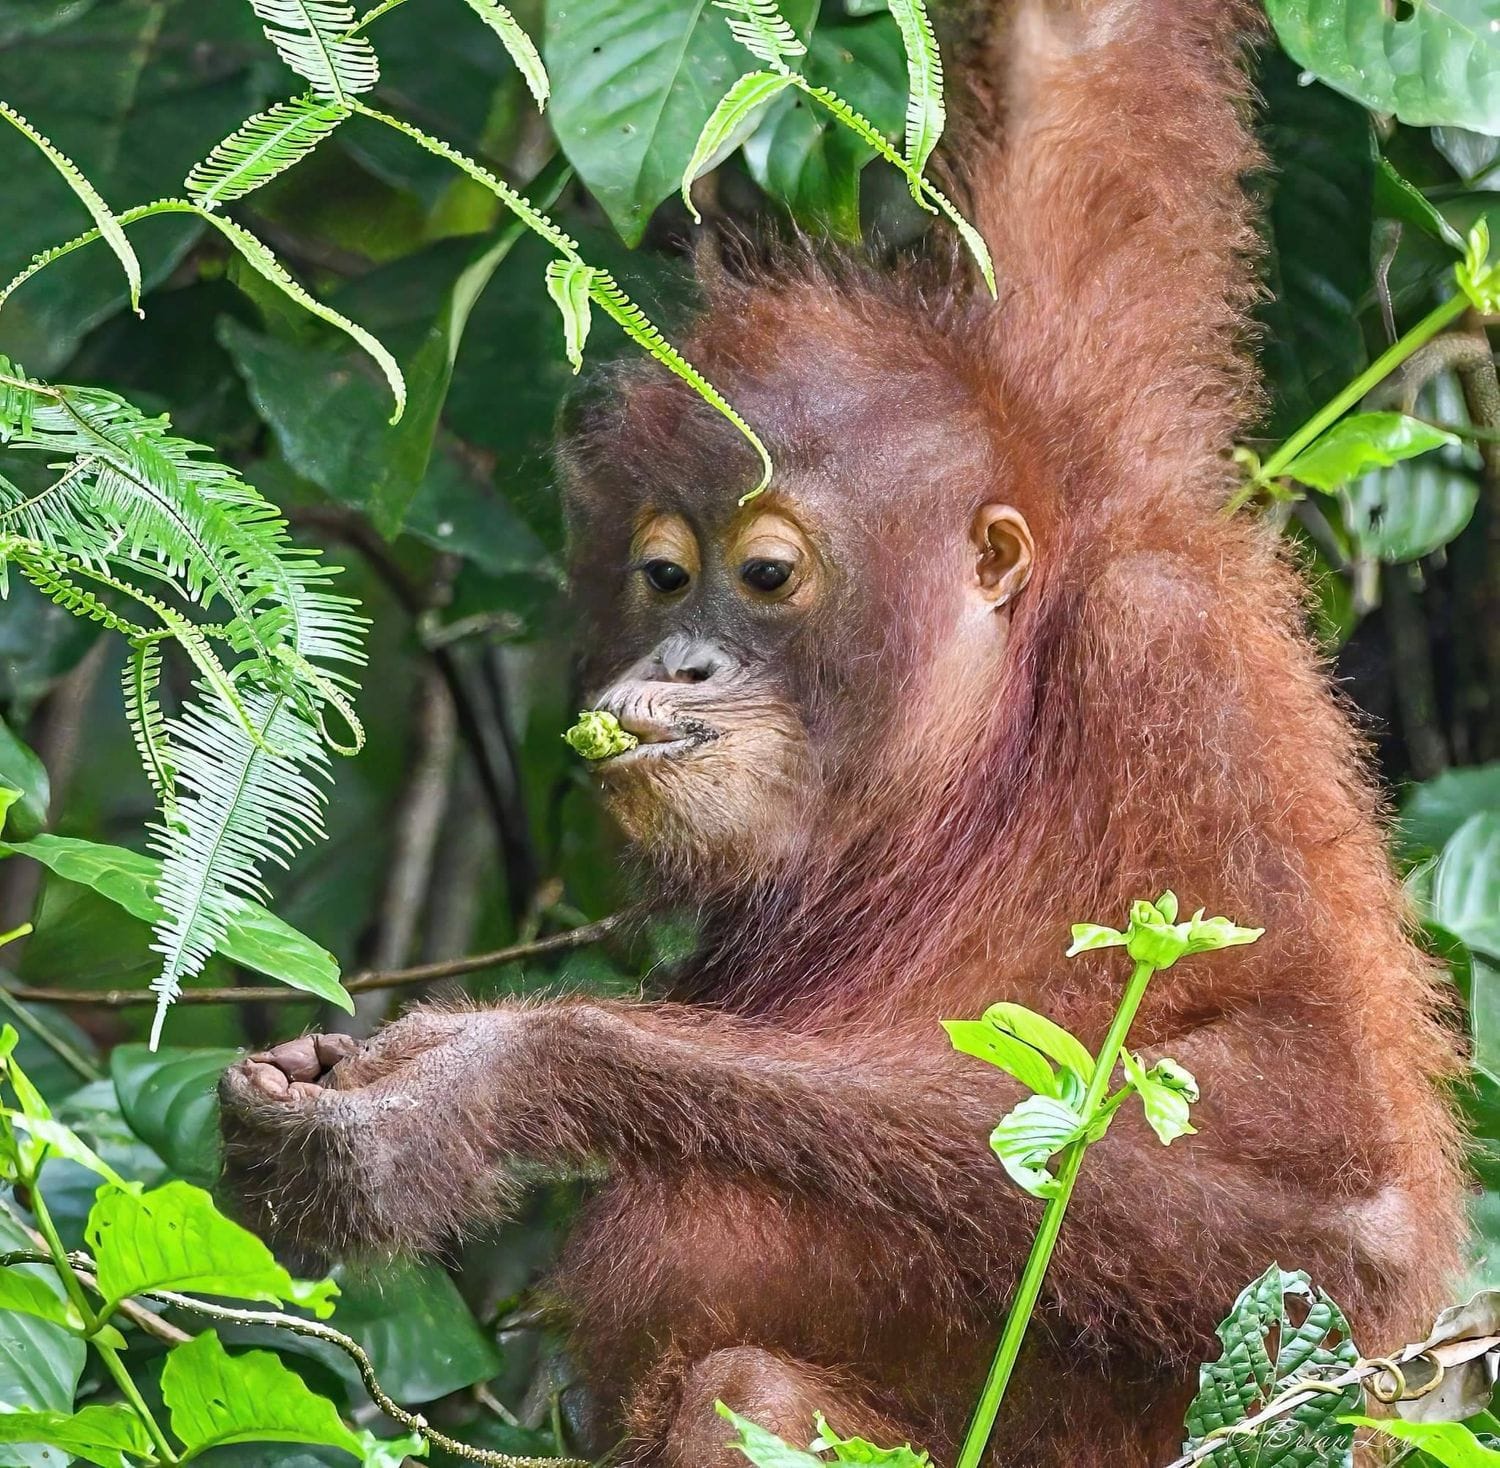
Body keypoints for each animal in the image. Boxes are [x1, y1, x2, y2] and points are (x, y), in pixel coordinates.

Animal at [218, 1, 1468, 1464]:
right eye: (664, 574)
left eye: (765, 576)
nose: (682, 659)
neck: (982, 767)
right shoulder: (1071, 403)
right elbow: (1084, 77)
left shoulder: (1173, 666)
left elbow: (1337, 1200)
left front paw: (482, 1077)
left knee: (744, 1389)